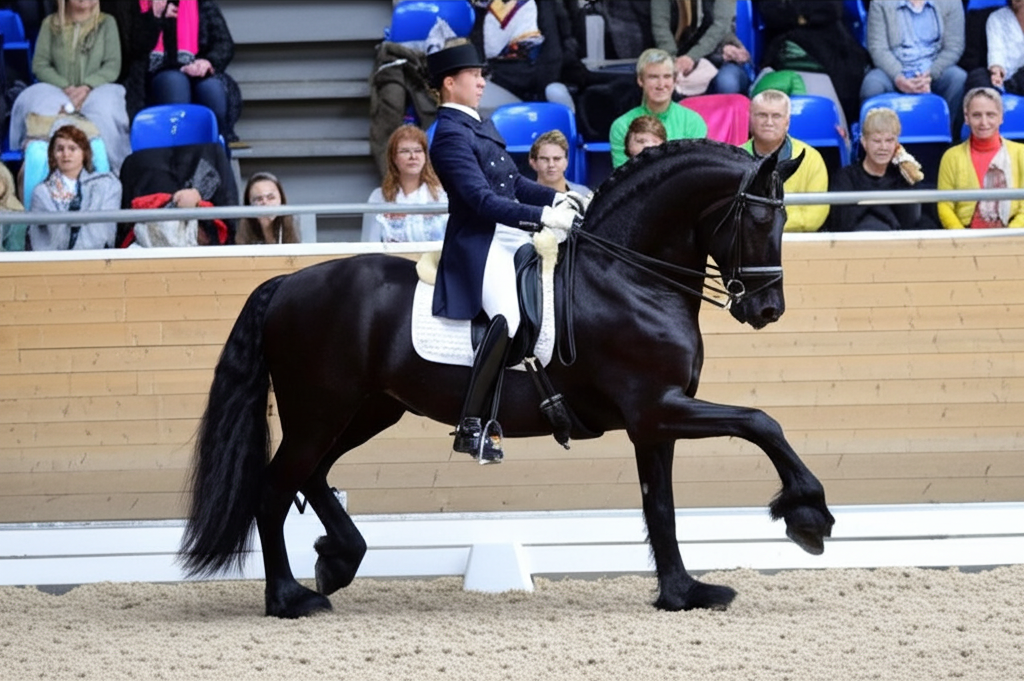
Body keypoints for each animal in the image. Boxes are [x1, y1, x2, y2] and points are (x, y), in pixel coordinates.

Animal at [180, 139, 835, 618]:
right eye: (758, 219)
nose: (767, 309)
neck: (627, 277)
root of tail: (288, 283)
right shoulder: (657, 407)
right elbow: (761, 422)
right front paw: (808, 515)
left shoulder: (653, 421)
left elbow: (661, 506)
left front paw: (682, 594)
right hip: (321, 411)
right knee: (274, 487)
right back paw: (289, 599)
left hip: (366, 410)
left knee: (311, 476)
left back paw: (339, 560)